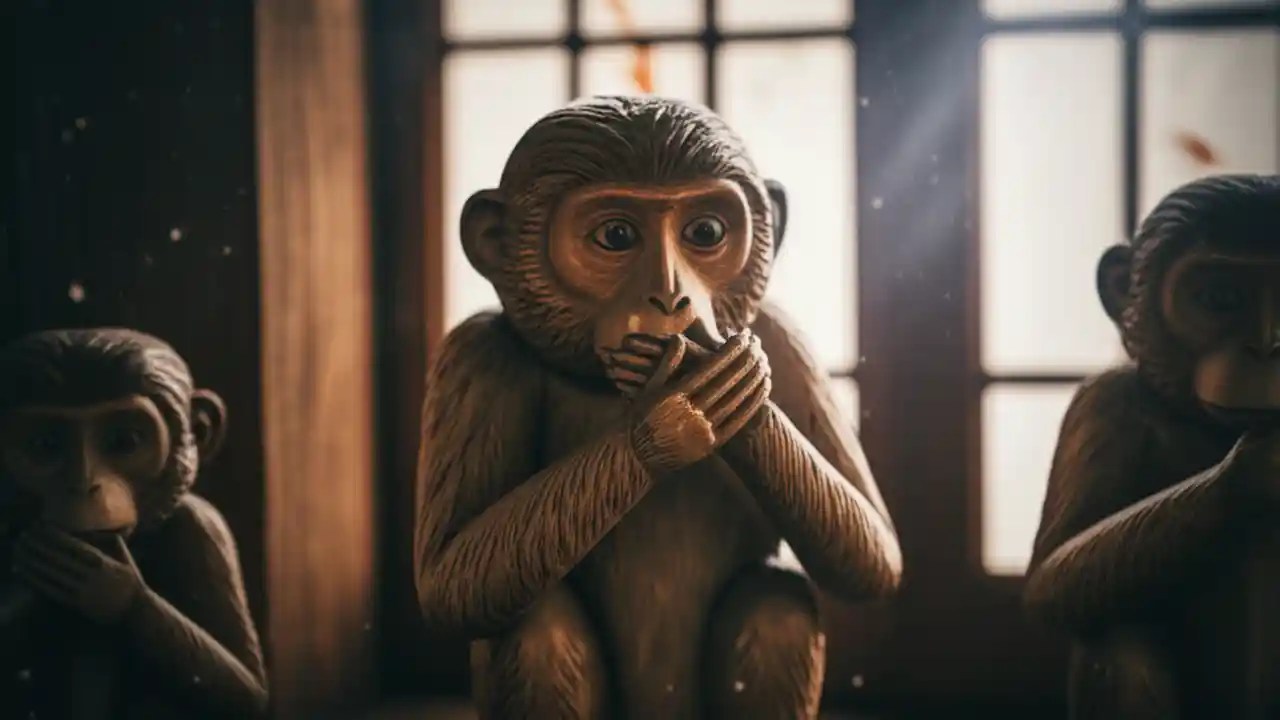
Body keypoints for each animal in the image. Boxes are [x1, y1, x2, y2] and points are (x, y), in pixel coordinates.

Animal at [0, 328, 268, 719]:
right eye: (45, 444)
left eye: (125, 441)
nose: (83, 484)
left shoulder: (203, 529)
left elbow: (248, 693)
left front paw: (114, 587)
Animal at [414, 95, 902, 720]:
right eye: (616, 235)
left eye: (706, 231)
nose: (671, 298)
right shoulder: (474, 356)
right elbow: (449, 580)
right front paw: (670, 422)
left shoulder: (788, 341)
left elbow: (872, 553)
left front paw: (743, 400)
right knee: (534, 629)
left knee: (778, 608)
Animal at [1024, 174, 1280, 719]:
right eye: (1220, 297)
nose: (1269, 348)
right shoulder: (1102, 404)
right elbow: (1052, 575)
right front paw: (1252, 474)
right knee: (1118, 637)